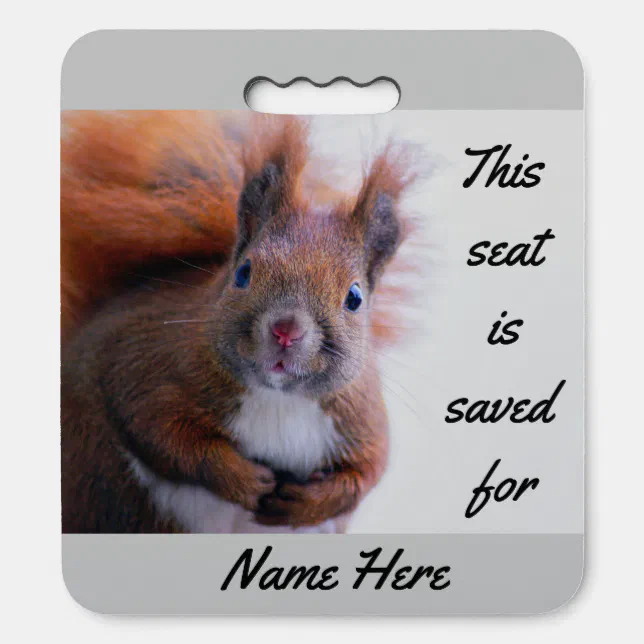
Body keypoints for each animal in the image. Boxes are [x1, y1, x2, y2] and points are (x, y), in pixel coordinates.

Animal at [61, 111, 420, 533]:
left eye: (355, 298)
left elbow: (364, 474)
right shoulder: (144, 367)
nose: (286, 331)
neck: (278, 398)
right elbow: (163, 434)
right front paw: (246, 480)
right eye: (243, 273)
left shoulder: (363, 422)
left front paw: (306, 502)